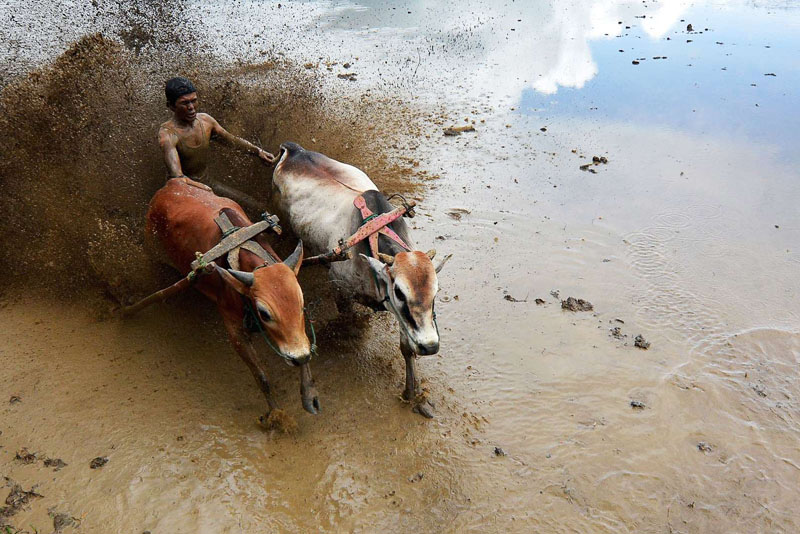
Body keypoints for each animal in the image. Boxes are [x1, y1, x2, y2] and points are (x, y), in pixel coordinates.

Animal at [145, 177, 320, 424]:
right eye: (264, 313)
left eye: (301, 304)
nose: (298, 355)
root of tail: (171, 184)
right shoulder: (235, 331)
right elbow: (262, 376)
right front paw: (276, 415)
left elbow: (304, 353)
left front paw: (309, 395)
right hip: (152, 251)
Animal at [271, 142, 445, 417]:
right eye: (399, 291)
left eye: (435, 293)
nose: (430, 346)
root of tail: (292, 149)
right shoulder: (340, 286)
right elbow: (348, 319)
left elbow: (407, 347)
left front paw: (415, 396)